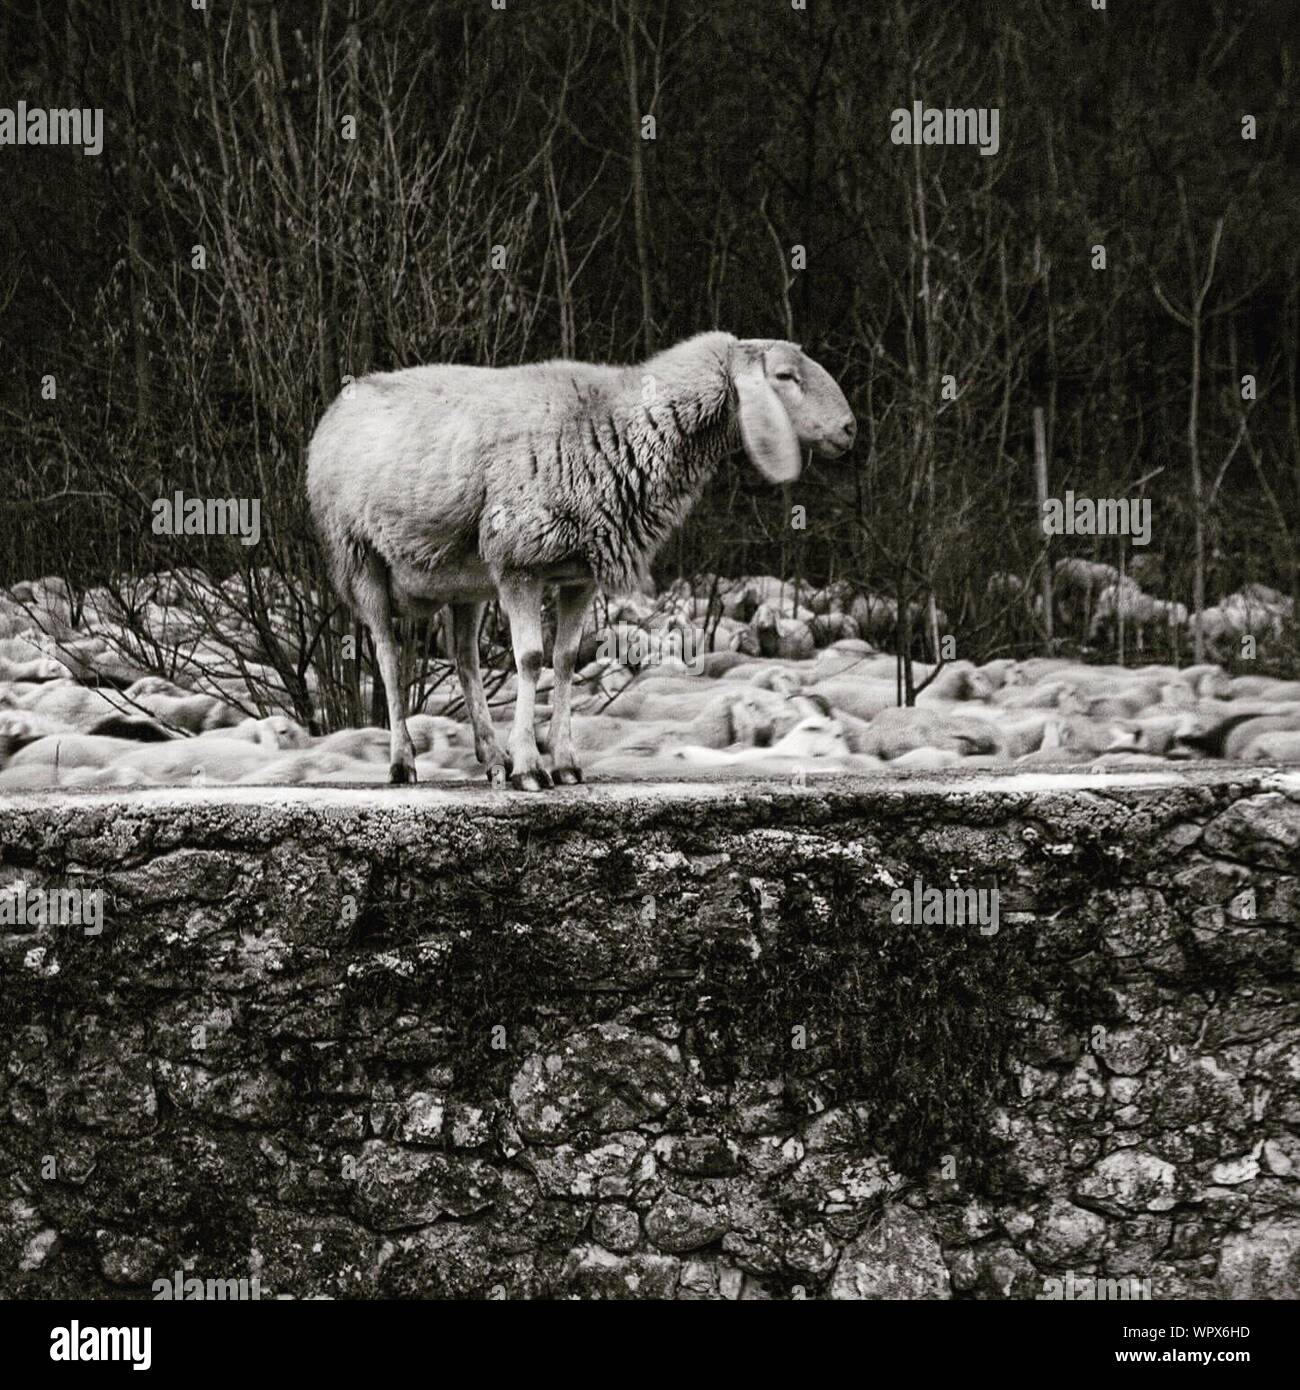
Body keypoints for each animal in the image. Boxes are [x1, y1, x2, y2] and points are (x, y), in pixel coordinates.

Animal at [306, 332, 854, 788]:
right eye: (784, 376)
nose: (850, 429)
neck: (623, 423)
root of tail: (347, 396)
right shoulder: (518, 564)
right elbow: (530, 659)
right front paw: (530, 767)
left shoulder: (580, 573)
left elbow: (566, 660)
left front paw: (564, 763)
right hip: (360, 559)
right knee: (389, 656)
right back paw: (404, 762)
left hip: (463, 580)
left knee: (465, 659)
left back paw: (492, 758)